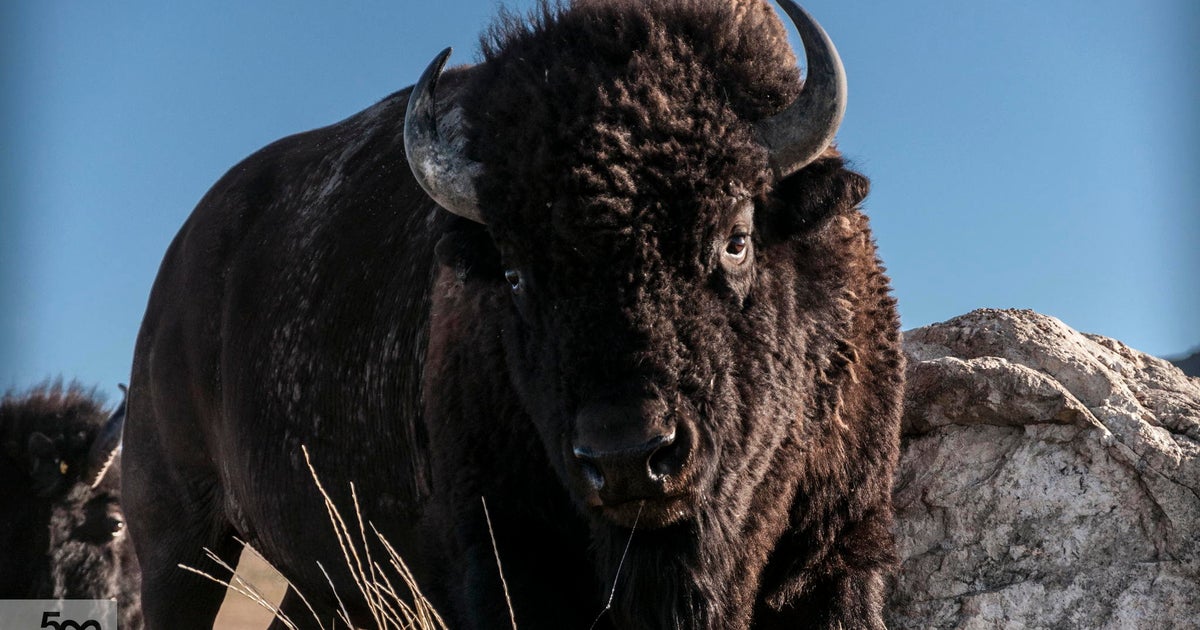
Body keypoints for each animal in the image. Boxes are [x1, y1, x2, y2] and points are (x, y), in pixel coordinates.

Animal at [124, 0, 903, 628]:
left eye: (736, 238)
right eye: (515, 274)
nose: (627, 457)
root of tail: (181, 261)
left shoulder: (843, 550)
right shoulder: (504, 560)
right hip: (176, 539)